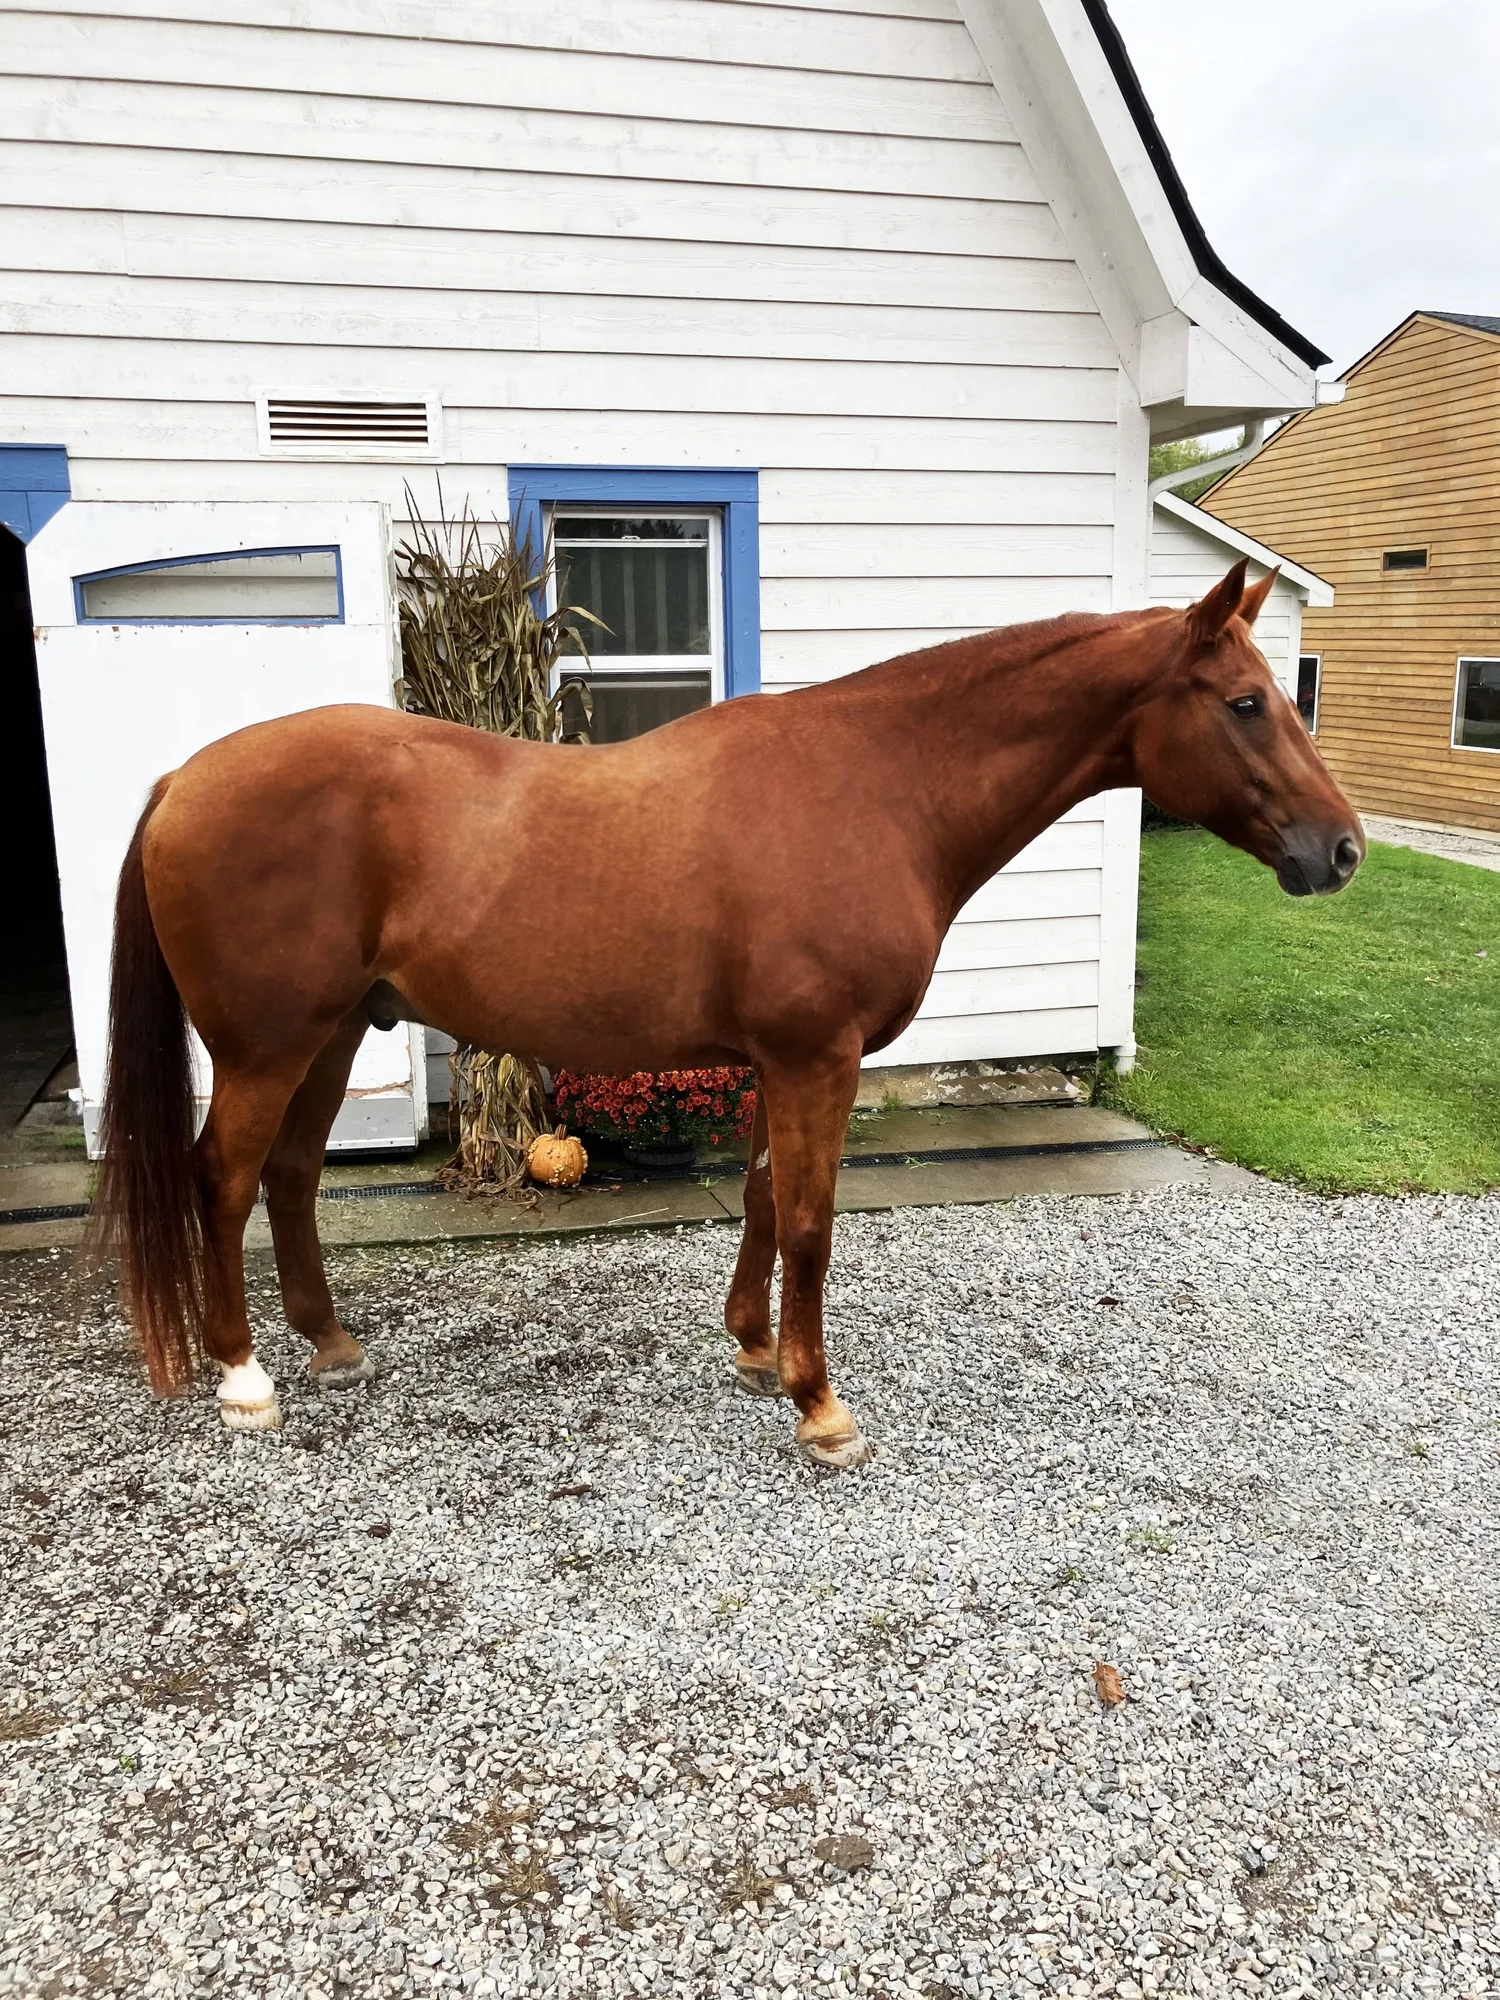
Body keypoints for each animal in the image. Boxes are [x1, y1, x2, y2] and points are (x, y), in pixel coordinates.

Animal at [94, 559, 1363, 1465]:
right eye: (1246, 702)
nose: (1342, 850)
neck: (877, 787)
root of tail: (183, 778)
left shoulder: (779, 1058)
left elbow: (761, 1198)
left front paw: (756, 1351)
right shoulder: (817, 1057)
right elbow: (809, 1219)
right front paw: (820, 1405)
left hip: (331, 1033)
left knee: (291, 1175)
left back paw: (331, 1346)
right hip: (267, 1044)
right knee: (225, 1178)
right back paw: (246, 1381)